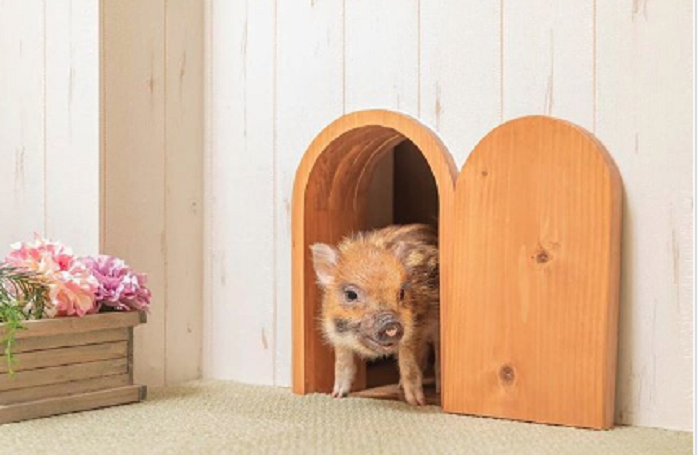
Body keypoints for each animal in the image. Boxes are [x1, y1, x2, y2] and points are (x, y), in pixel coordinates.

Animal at [310, 223, 440, 406]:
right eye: (351, 294)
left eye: (401, 293)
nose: (390, 323)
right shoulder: (336, 336)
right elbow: (342, 363)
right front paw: (337, 395)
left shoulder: (413, 333)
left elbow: (408, 364)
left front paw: (417, 403)